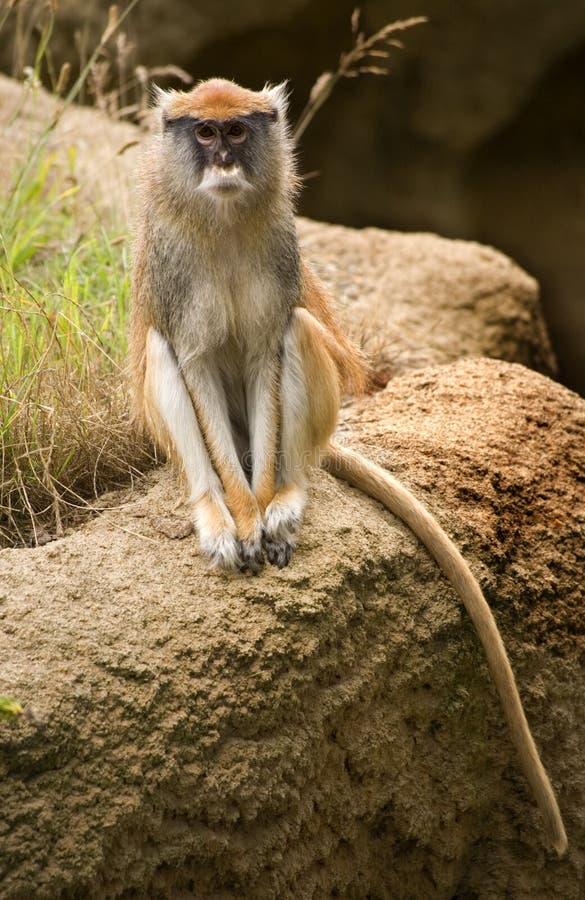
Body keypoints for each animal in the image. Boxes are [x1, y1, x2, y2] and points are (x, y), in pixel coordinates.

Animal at [129, 78, 567, 856]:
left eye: (237, 133)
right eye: (204, 134)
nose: (224, 160)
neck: (224, 221)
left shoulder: (279, 257)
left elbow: (269, 348)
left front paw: (265, 508)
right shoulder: (174, 269)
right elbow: (191, 359)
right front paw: (237, 517)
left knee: (298, 334)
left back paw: (288, 492)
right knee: (161, 350)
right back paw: (215, 509)